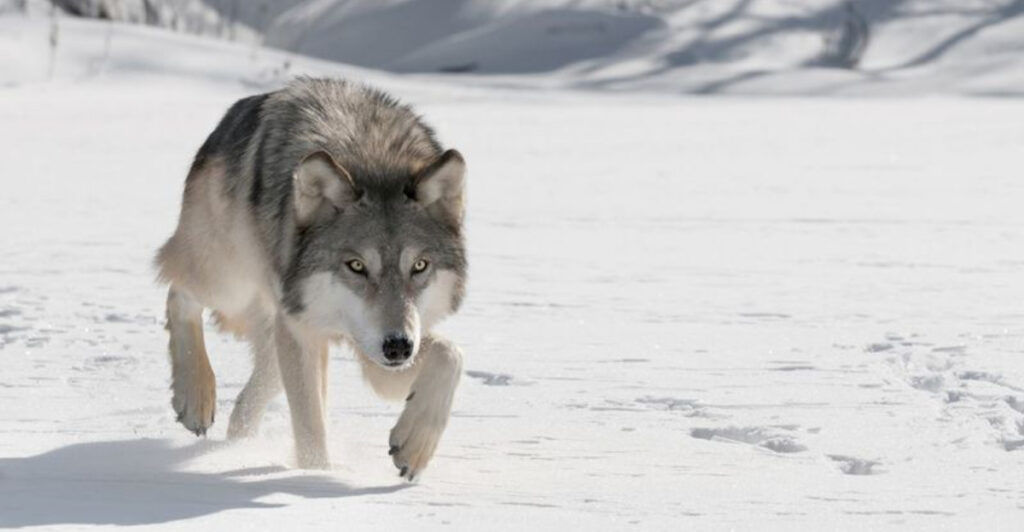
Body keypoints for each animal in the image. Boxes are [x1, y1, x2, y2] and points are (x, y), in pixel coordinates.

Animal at [155, 78, 466, 480]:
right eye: (356, 266)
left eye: (419, 266)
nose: (398, 347)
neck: (372, 156)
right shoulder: (306, 331)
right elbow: (310, 426)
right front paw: (316, 478)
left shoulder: (379, 352)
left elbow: (450, 354)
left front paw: (414, 446)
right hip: (230, 283)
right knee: (178, 292)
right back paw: (196, 398)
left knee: (258, 384)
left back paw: (237, 443)